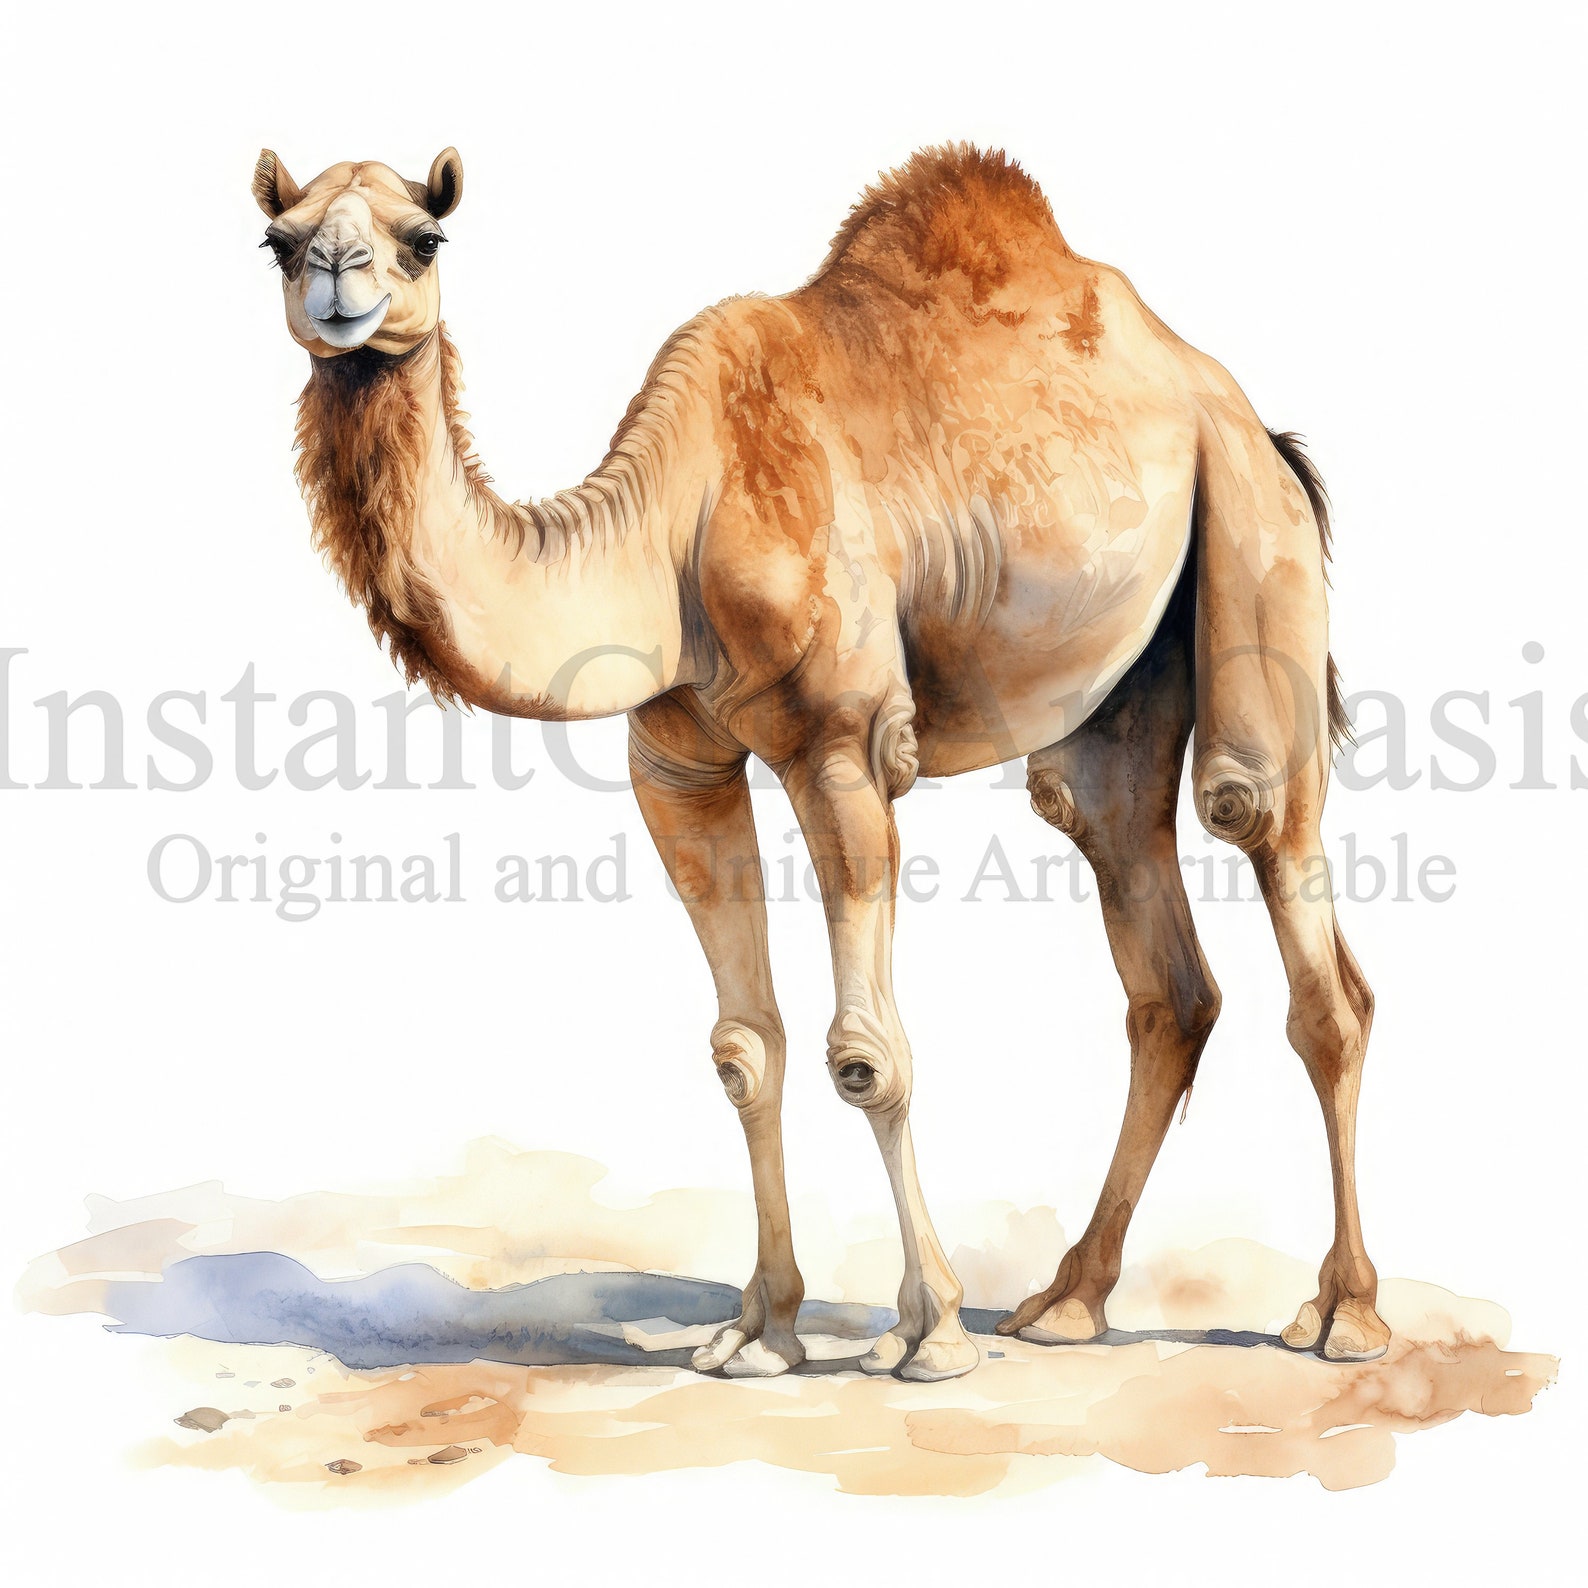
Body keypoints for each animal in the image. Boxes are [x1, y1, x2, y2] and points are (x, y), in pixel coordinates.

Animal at [253, 143, 1387, 1381]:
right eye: (279, 238)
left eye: (423, 237)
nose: (339, 279)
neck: (674, 522)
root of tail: (1246, 414)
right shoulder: (678, 762)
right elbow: (744, 1049)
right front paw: (759, 1328)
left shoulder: (843, 744)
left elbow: (865, 1057)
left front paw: (931, 1331)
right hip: (1117, 688)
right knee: (1146, 929)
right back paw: (1066, 1301)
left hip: (1251, 536)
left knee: (1280, 880)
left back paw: (1344, 1316)